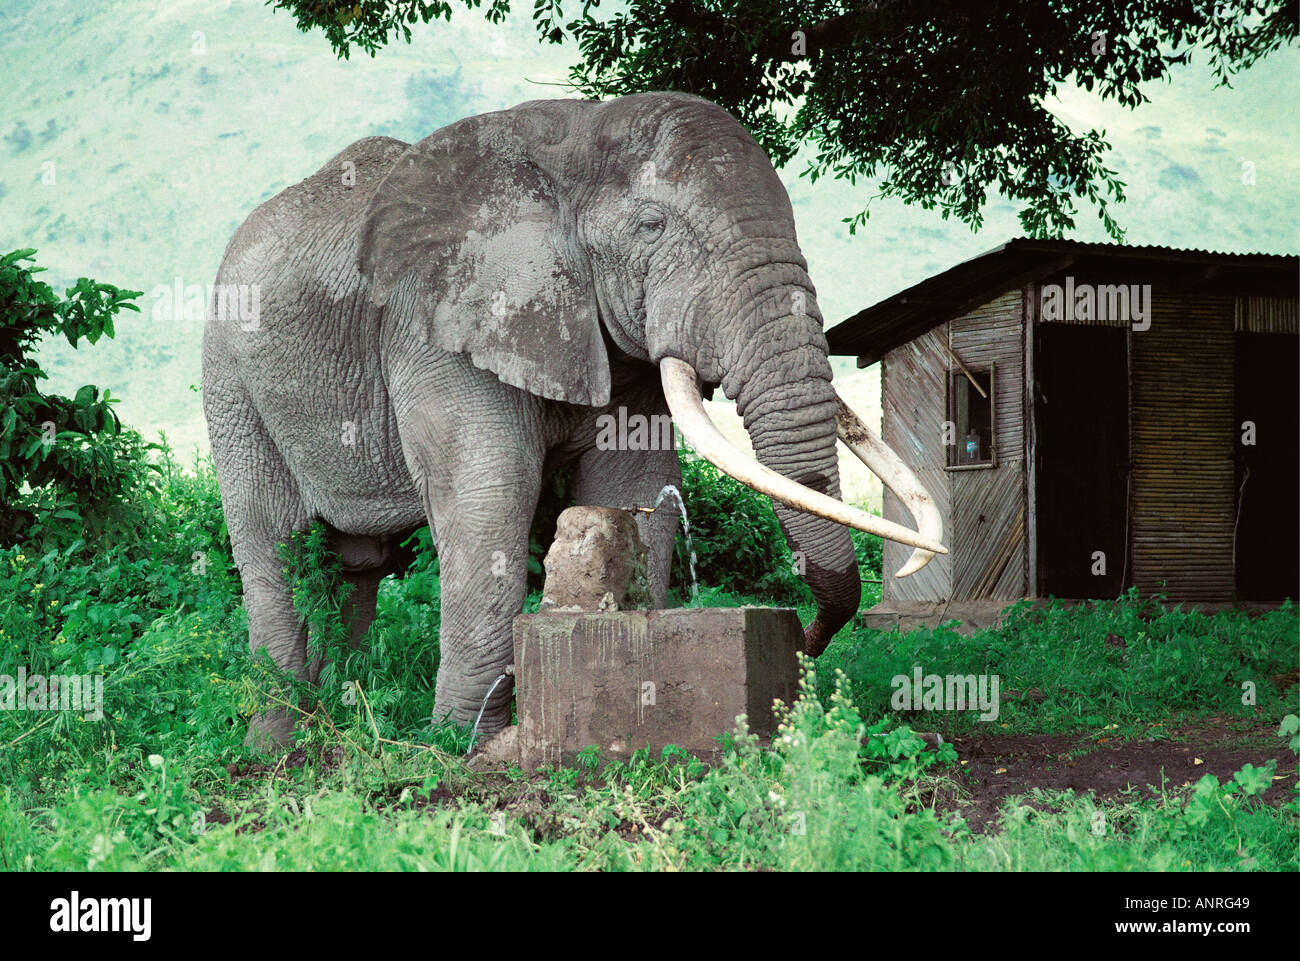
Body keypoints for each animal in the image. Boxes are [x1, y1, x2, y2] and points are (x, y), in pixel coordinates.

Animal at [202, 91, 946, 751]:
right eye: (651, 226)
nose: (808, 648)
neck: (575, 134)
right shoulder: (435, 322)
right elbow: (489, 493)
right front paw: (465, 744)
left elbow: (634, 481)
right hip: (230, 381)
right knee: (273, 544)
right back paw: (279, 746)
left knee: (354, 567)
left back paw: (342, 715)